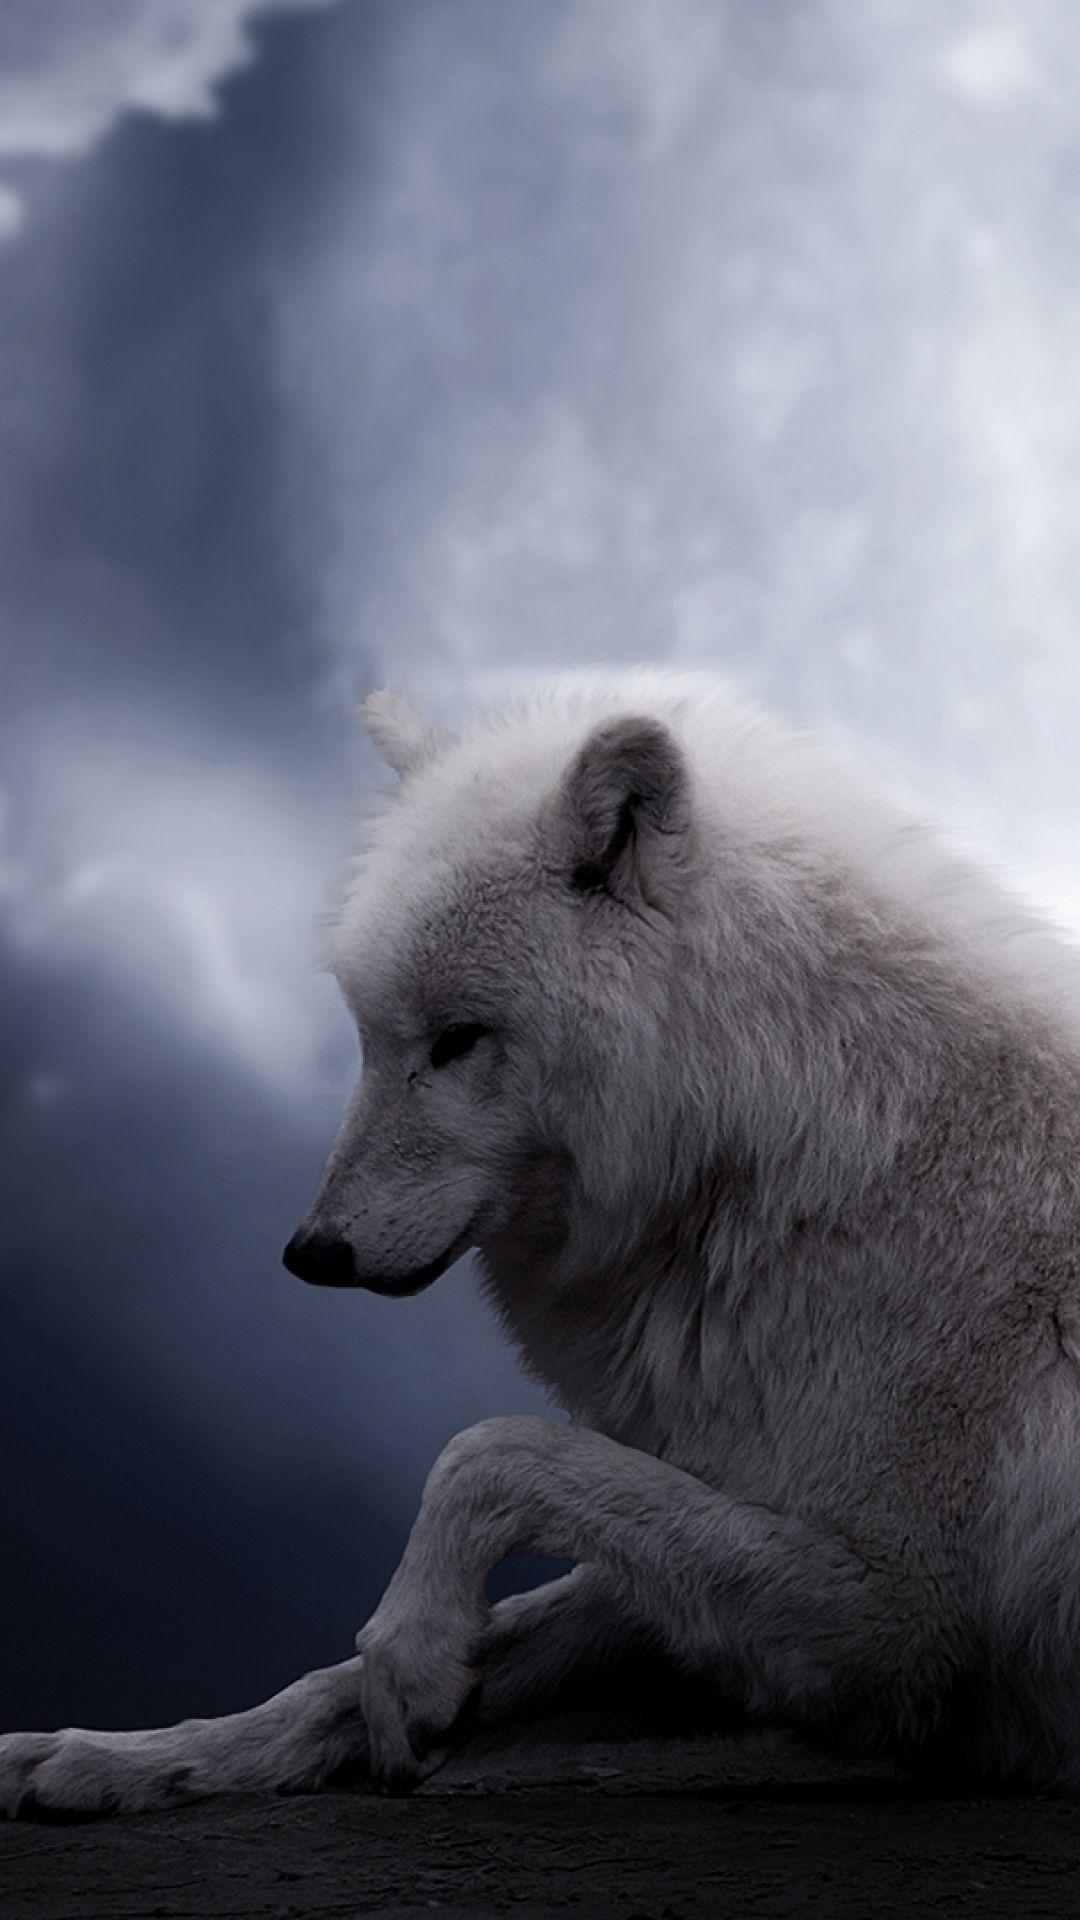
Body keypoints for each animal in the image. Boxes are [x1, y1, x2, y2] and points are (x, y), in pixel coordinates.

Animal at [6, 665, 1080, 1817]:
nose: (311, 1254)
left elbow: (492, 1452)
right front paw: (125, 1757)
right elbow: (351, 1676)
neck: (795, 1150)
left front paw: (410, 1653)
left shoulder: (899, 1617)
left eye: (458, 1039)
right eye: (369, 1037)